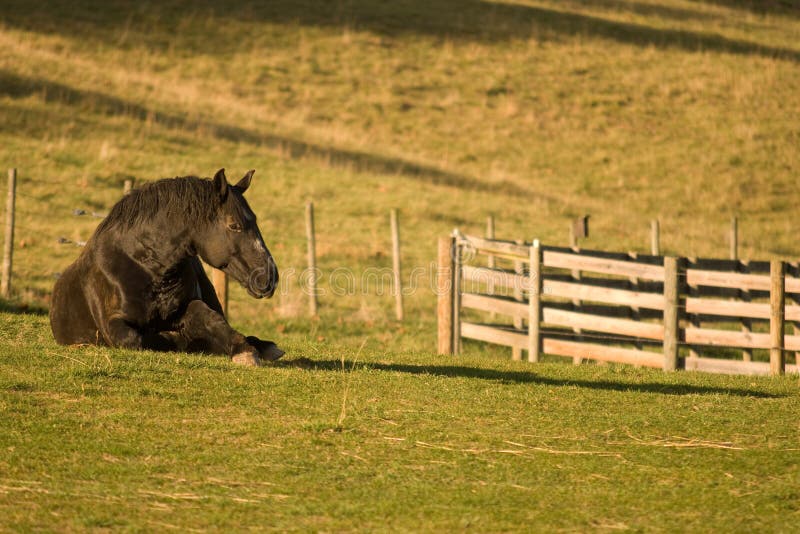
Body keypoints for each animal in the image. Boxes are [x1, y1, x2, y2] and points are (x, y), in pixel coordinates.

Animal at [49, 169, 283, 366]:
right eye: (234, 225)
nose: (269, 277)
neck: (144, 266)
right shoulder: (112, 324)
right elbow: (135, 339)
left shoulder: (187, 307)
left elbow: (210, 318)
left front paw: (243, 350)